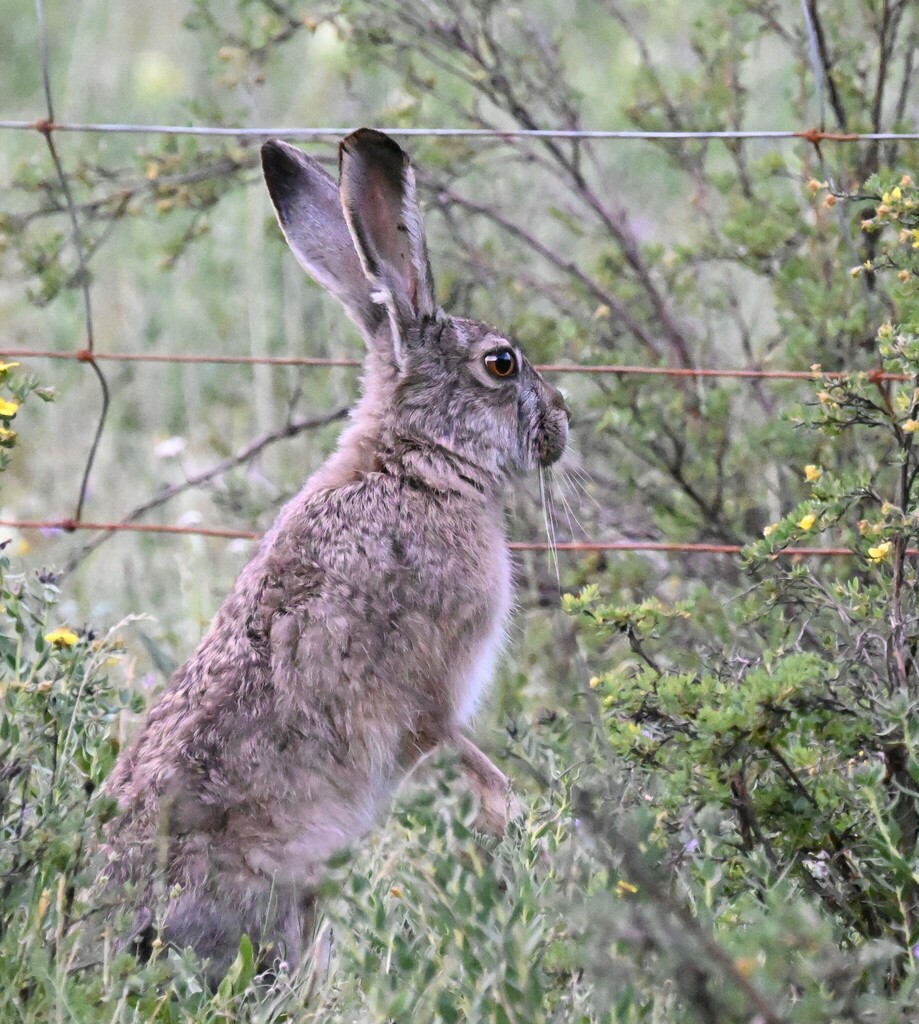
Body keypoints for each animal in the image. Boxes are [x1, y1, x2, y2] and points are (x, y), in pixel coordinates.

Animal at [97, 128, 569, 981]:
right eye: (501, 363)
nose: (561, 424)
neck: (415, 463)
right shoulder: (430, 693)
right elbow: (464, 753)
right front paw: (503, 821)